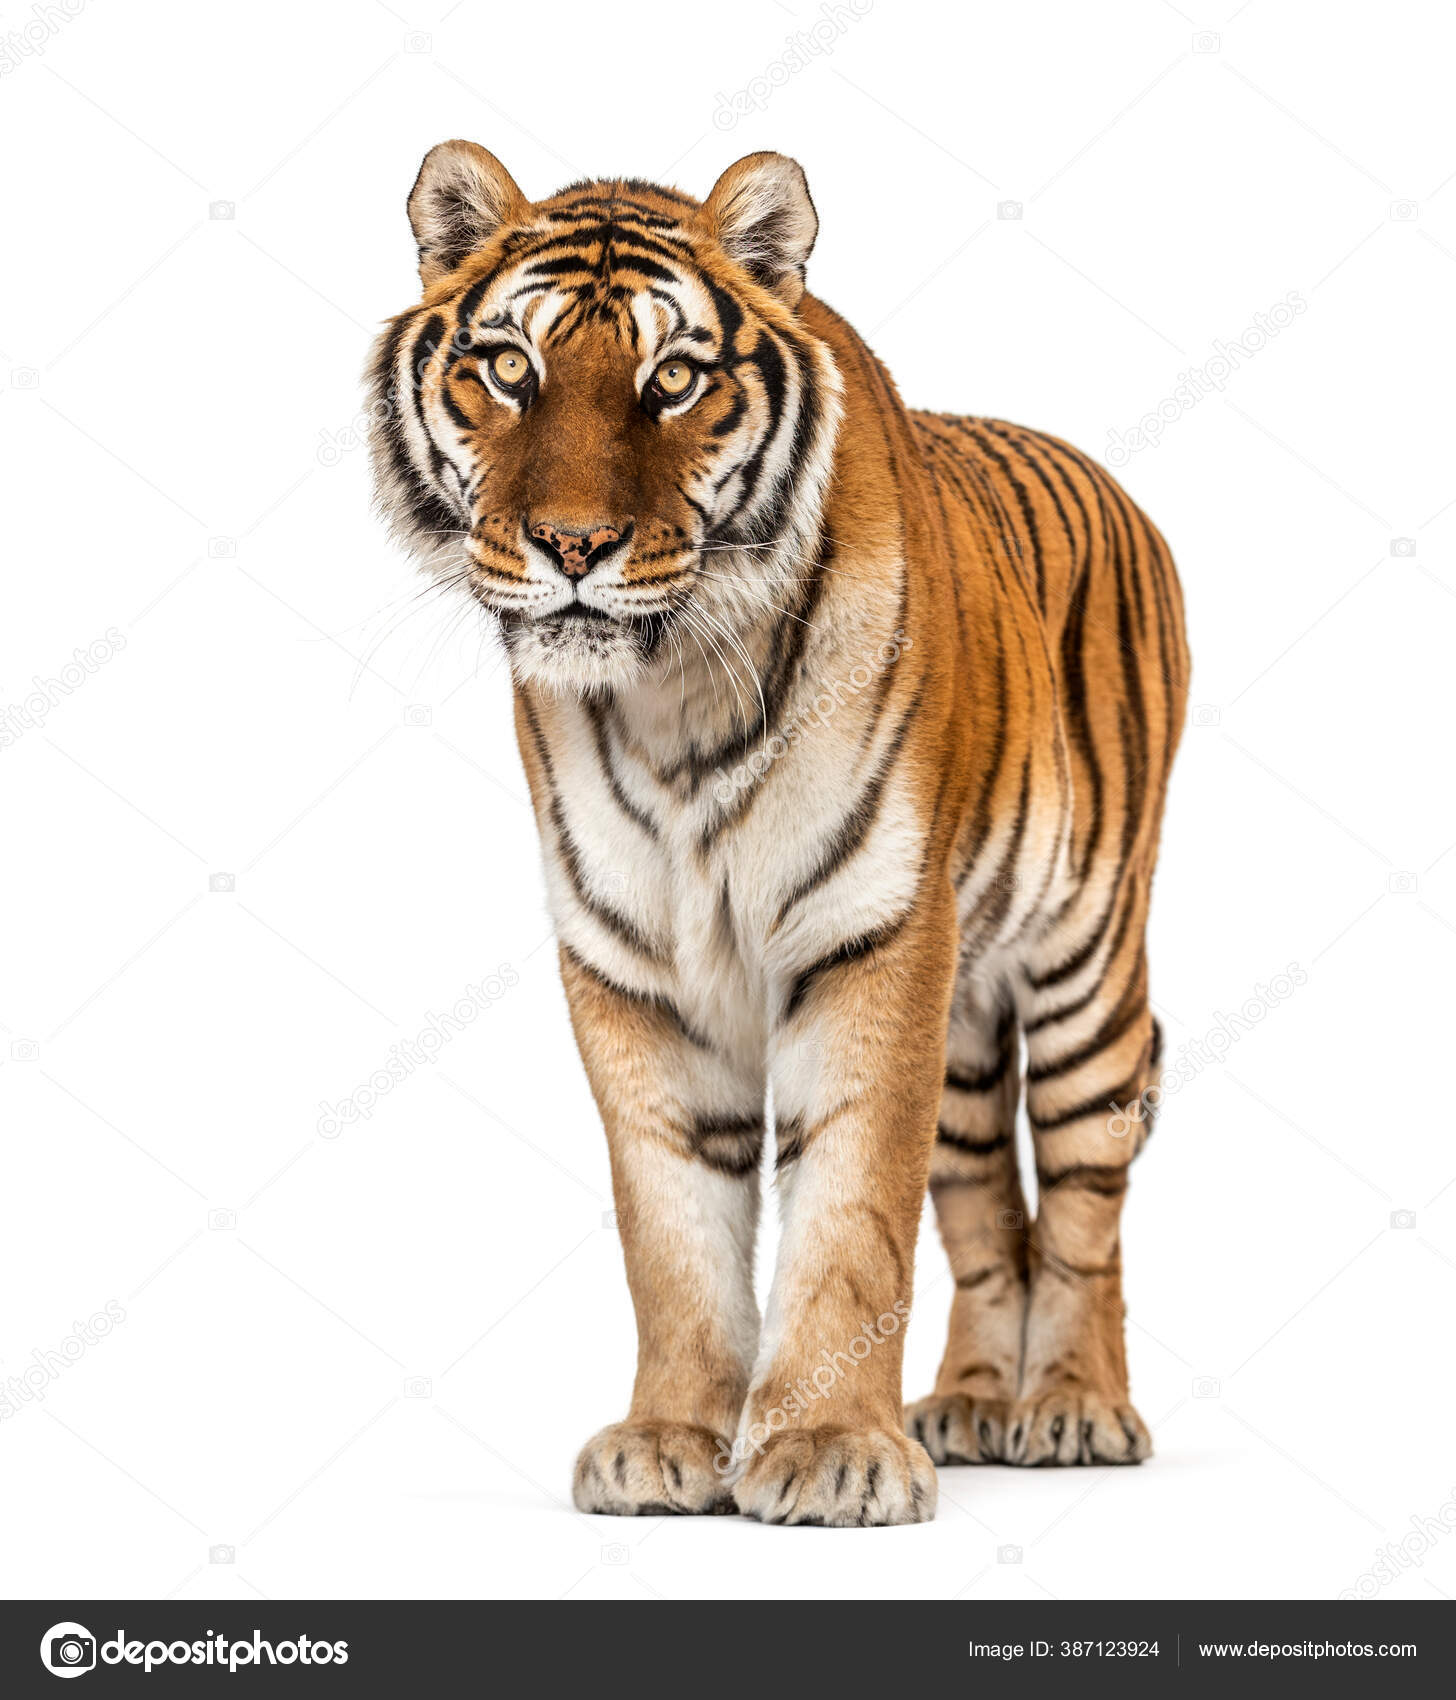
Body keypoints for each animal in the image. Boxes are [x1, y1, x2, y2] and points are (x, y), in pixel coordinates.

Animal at [368, 141, 1189, 1527]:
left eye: (673, 379)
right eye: (511, 369)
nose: (572, 544)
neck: (670, 697)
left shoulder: (874, 934)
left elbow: (850, 1210)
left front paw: (832, 1450)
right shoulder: (628, 960)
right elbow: (672, 1227)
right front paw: (673, 1437)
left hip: (1086, 961)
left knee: (1083, 1200)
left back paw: (1073, 1406)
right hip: (968, 1028)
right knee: (984, 1205)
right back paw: (970, 1403)